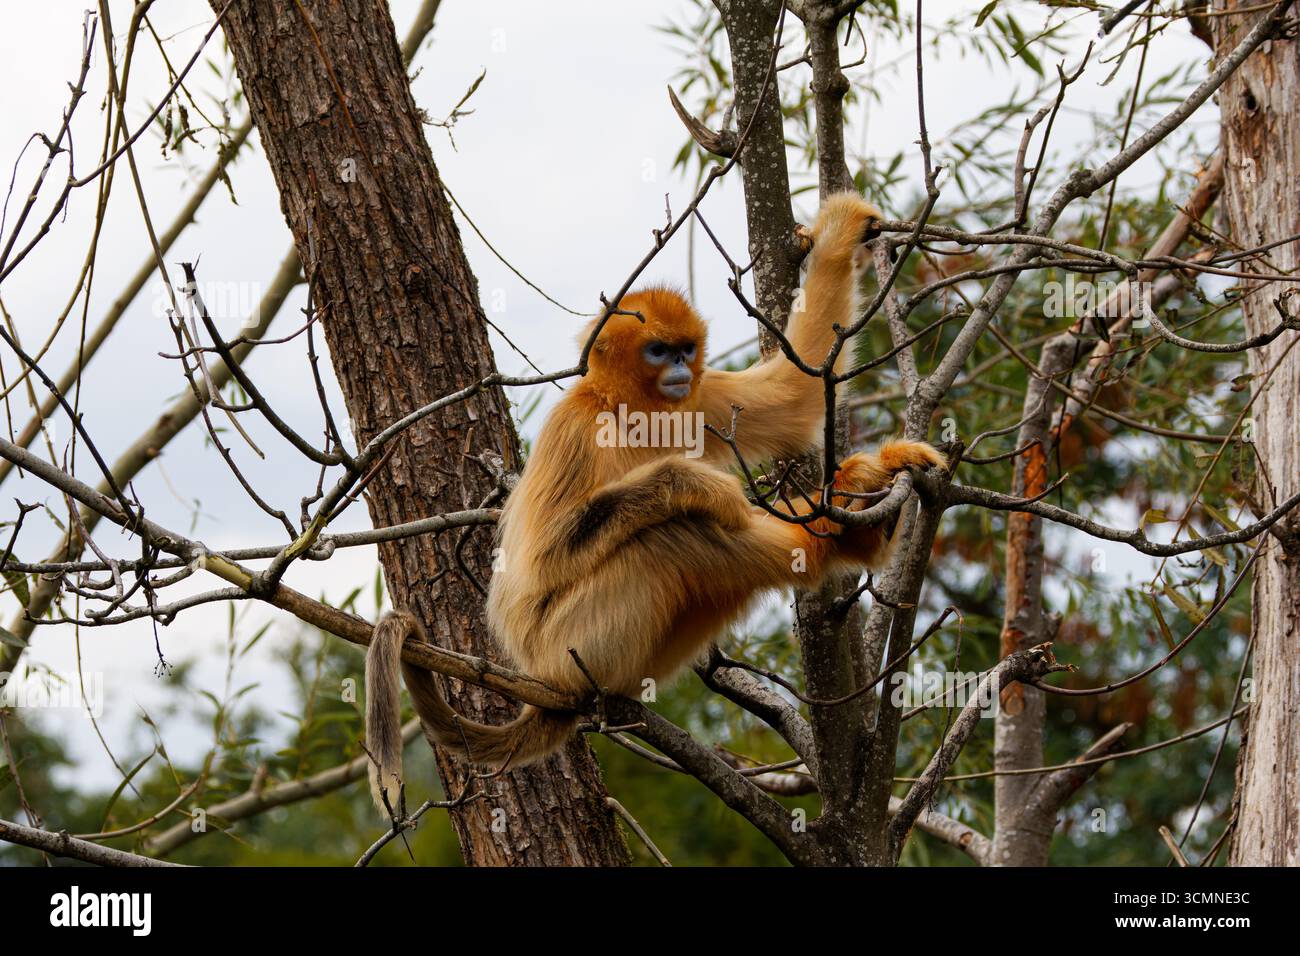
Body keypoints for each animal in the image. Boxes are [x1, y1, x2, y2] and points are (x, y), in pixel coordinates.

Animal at [365, 192, 945, 811]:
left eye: (685, 349)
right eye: (658, 349)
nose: (679, 368)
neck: (629, 410)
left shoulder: (699, 397)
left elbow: (795, 394)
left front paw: (837, 236)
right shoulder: (575, 426)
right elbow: (539, 563)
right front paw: (695, 484)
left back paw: (849, 521)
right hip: (567, 645)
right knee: (669, 543)